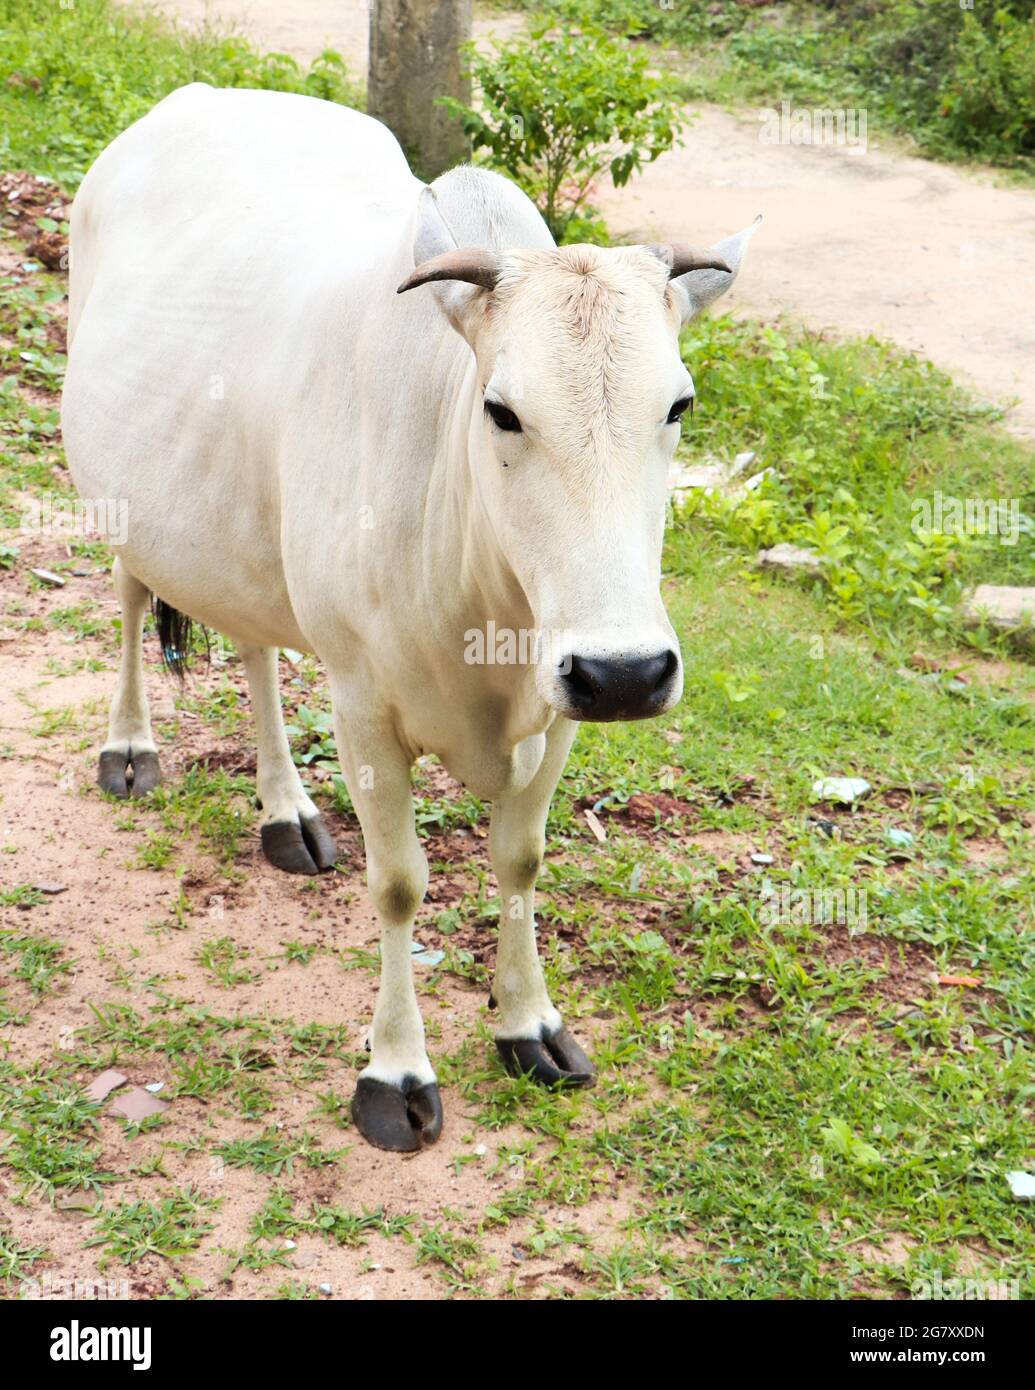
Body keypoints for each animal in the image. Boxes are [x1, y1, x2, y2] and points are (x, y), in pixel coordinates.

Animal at [62, 85, 758, 1151]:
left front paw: (528, 1024)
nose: (628, 674)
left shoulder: (559, 706)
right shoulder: (364, 708)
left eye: (678, 405)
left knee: (255, 648)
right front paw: (394, 1071)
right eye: (502, 410)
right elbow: (399, 883)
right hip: (129, 505)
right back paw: (131, 748)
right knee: (136, 594)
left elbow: (521, 859)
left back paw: (287, 812)